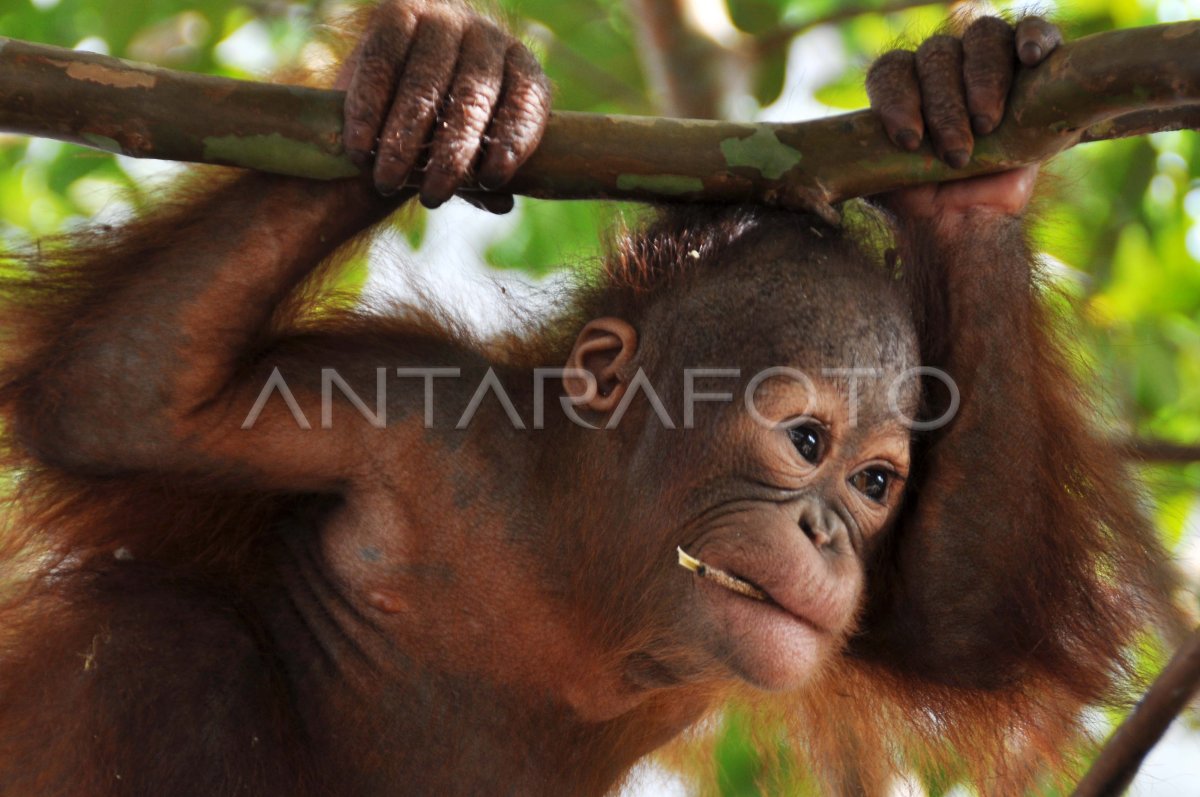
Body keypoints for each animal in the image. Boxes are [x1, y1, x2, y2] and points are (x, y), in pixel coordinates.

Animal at [0, 2, 1177, 795]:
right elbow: (119, 399)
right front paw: (442, 68)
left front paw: (961, 134)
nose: (828, 530)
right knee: (169, 640)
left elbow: (956, 625)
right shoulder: (408, 415)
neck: (587, 566)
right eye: (806, 440)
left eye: (879, 483)